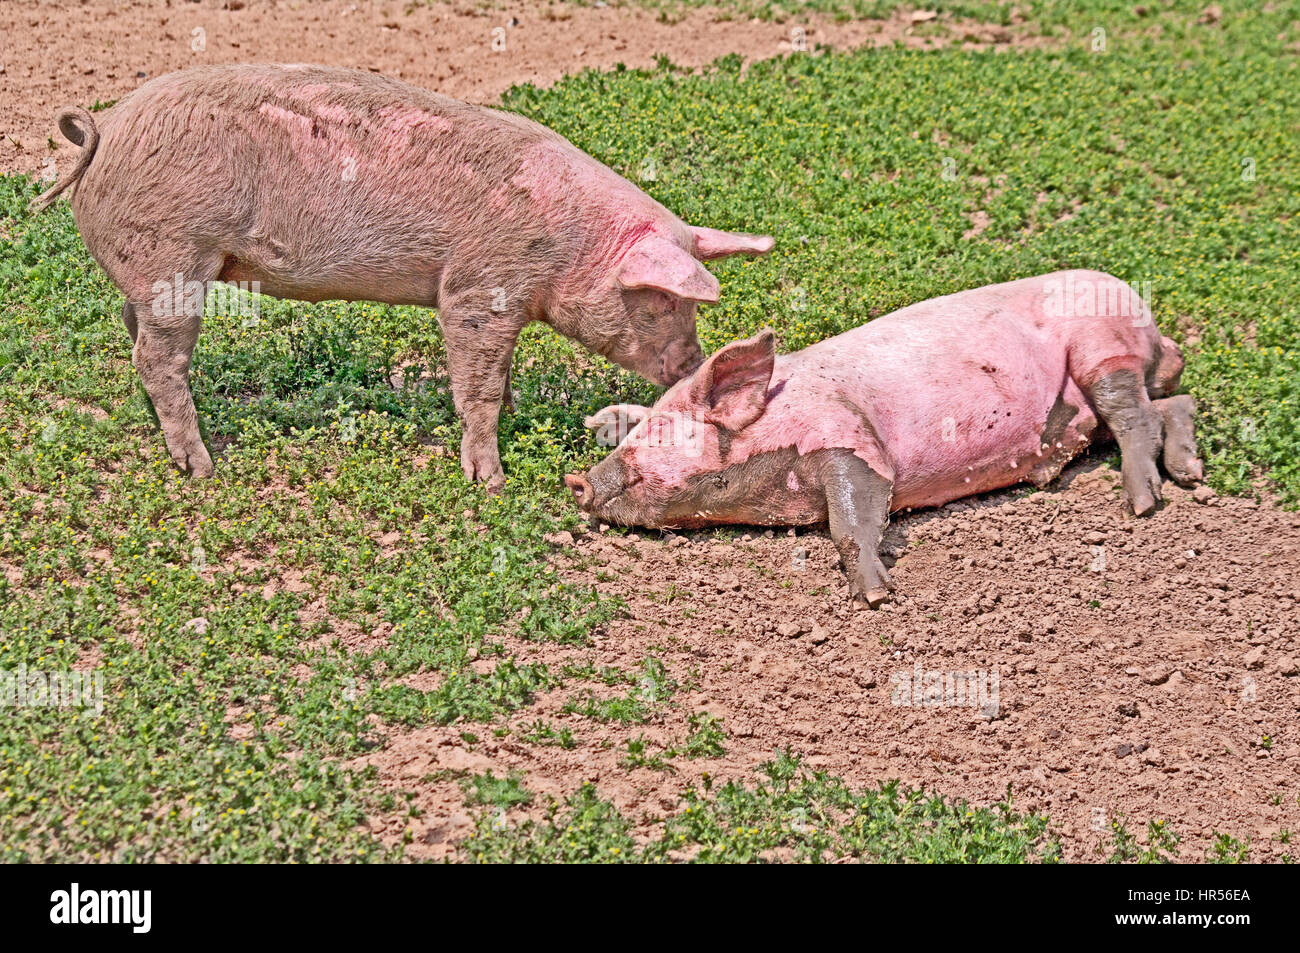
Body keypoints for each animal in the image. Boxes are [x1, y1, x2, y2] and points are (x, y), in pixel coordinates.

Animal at [28, 64, 773, 491]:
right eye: (658, 303)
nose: (693, 362)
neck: (570, 245)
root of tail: (105, 130)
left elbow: (499, 377)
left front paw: (514, 419)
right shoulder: (476, 289)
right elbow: (476, 384)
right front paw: (490, 483)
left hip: (150, 269)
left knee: (135, 336)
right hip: (174, 257)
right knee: (160, 357)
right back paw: (204, 471)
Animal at [566, 270, 1203, 606]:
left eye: (656, 430)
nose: (577, 481)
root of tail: (1152, 324)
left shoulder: (850, 437)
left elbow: (851, 520)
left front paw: (874, 596)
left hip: (1104, 349)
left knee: (1135, 416)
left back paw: (1141, 504)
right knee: (1173, 403)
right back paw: (1190, 474)